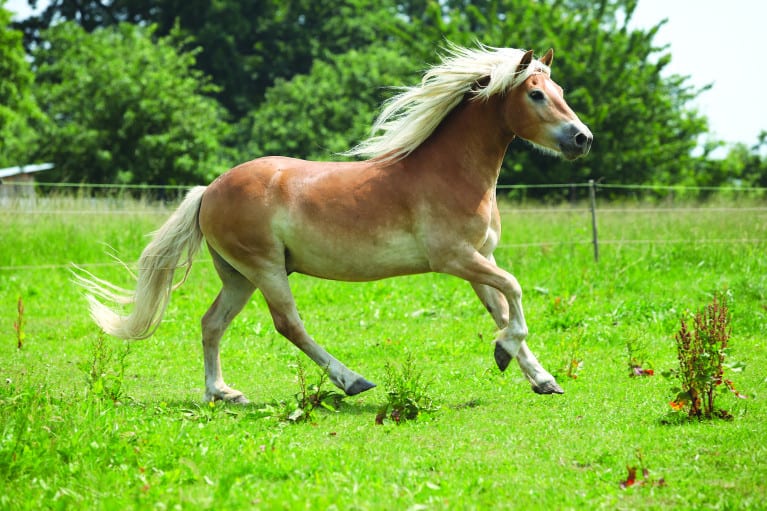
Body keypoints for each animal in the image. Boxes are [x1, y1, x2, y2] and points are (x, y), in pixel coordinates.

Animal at [75, 44, 592, 403]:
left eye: (561, 93)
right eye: (536, 94)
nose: (582, 139)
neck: (453, 172)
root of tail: (210, 190)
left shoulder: (479, 258)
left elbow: (502, 309)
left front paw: (539, 377)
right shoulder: (455, 259)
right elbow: (515, 293)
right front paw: (507, 353)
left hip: (239, 276)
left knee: (211, 324)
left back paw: (220, 393)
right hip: (266, 269)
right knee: (288, 324)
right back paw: (352, 380)